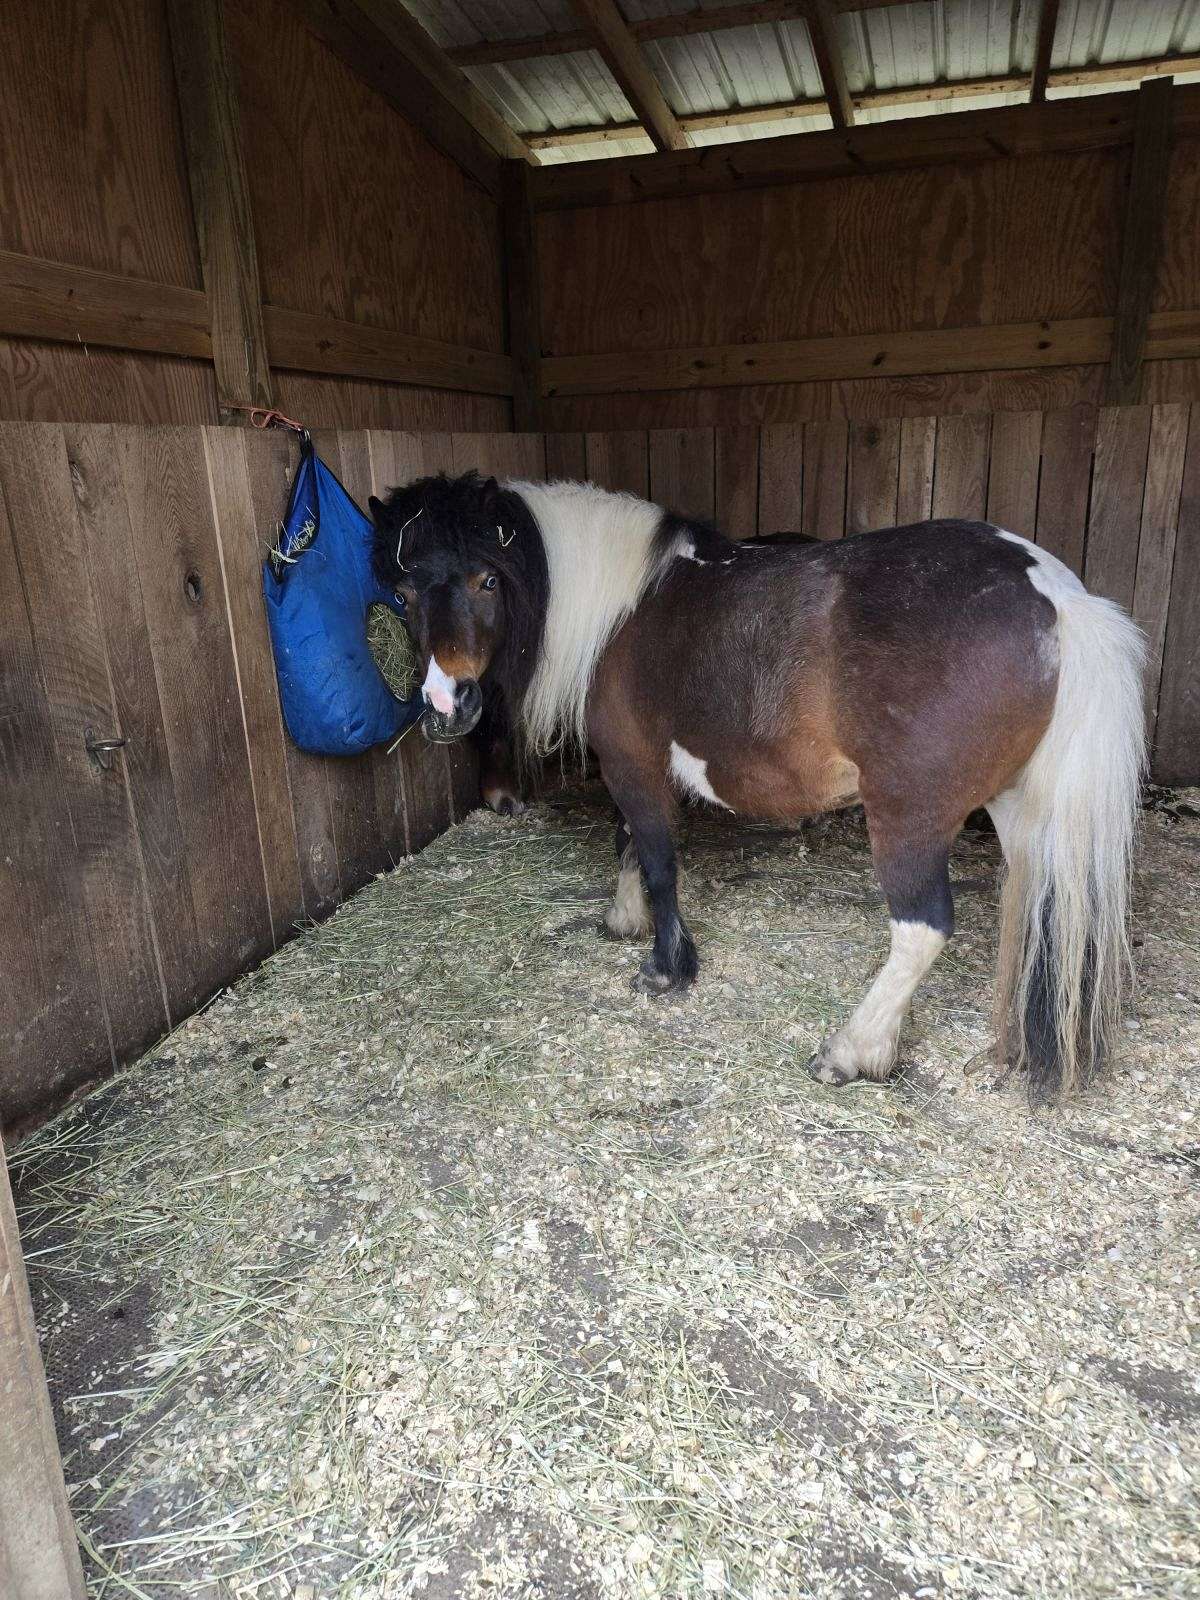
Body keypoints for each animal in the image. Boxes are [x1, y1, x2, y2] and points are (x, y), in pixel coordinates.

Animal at [368, 473, 1147, 1101]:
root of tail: (1057, 597)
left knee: (922, 930)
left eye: (487, 580)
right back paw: (1005, 1043)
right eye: (402, 593)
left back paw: (854, 1050)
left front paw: (666, 968)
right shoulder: (636, 764)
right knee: (1029, 903)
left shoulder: (630, 761)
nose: (445, 703)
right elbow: (630, 844)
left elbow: (657, 858)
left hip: (909, 817)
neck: (623, 608)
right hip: (1016, 806)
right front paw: (626, 921)